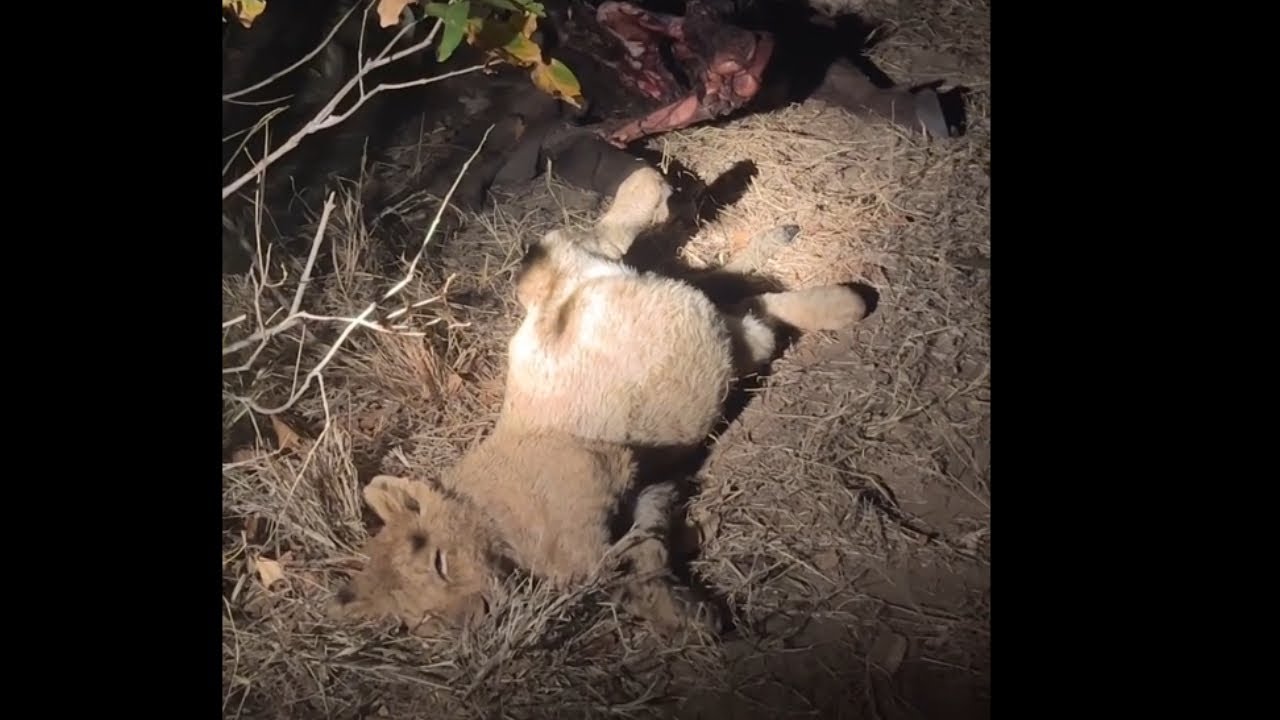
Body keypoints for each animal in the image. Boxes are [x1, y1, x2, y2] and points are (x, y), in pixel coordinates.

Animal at [328, 165, 870, 636]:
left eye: (439, 561)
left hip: (574, 279)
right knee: (751, 309)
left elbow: (616, 561)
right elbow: (645, 548)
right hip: (723, 337)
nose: (473, 618)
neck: (486, 517)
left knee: (583, 238)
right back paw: (828, 288)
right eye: (420, 620)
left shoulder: (600, 487)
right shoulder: (645, 486)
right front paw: (686, 616)